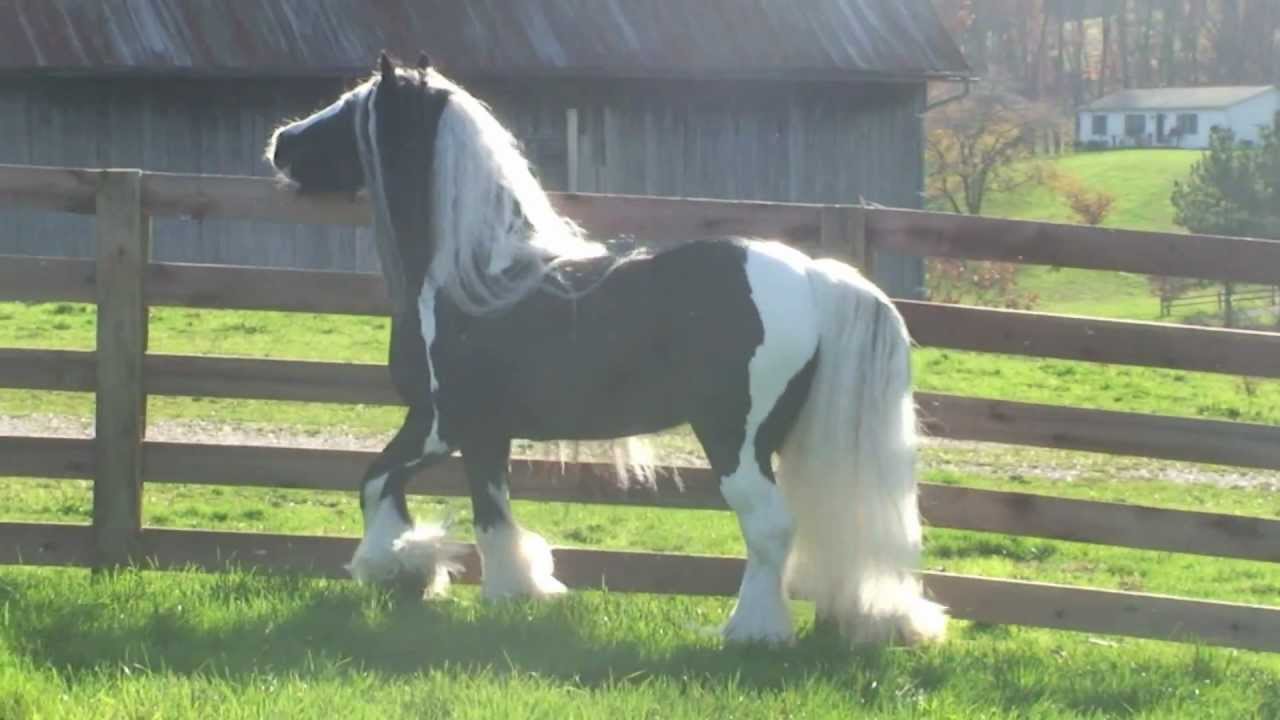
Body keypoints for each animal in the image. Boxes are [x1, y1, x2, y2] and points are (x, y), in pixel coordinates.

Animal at [266, 52, 946, 646]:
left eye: (351, 110)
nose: (280, 142)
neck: (471, 278)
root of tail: (811, 274)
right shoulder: (486, 434)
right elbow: (491, 514)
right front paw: (513, 592)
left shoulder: (439, 421)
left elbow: (375, 481)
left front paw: (399, 567)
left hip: (734, 439)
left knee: (769, 527)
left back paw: (751, 632)